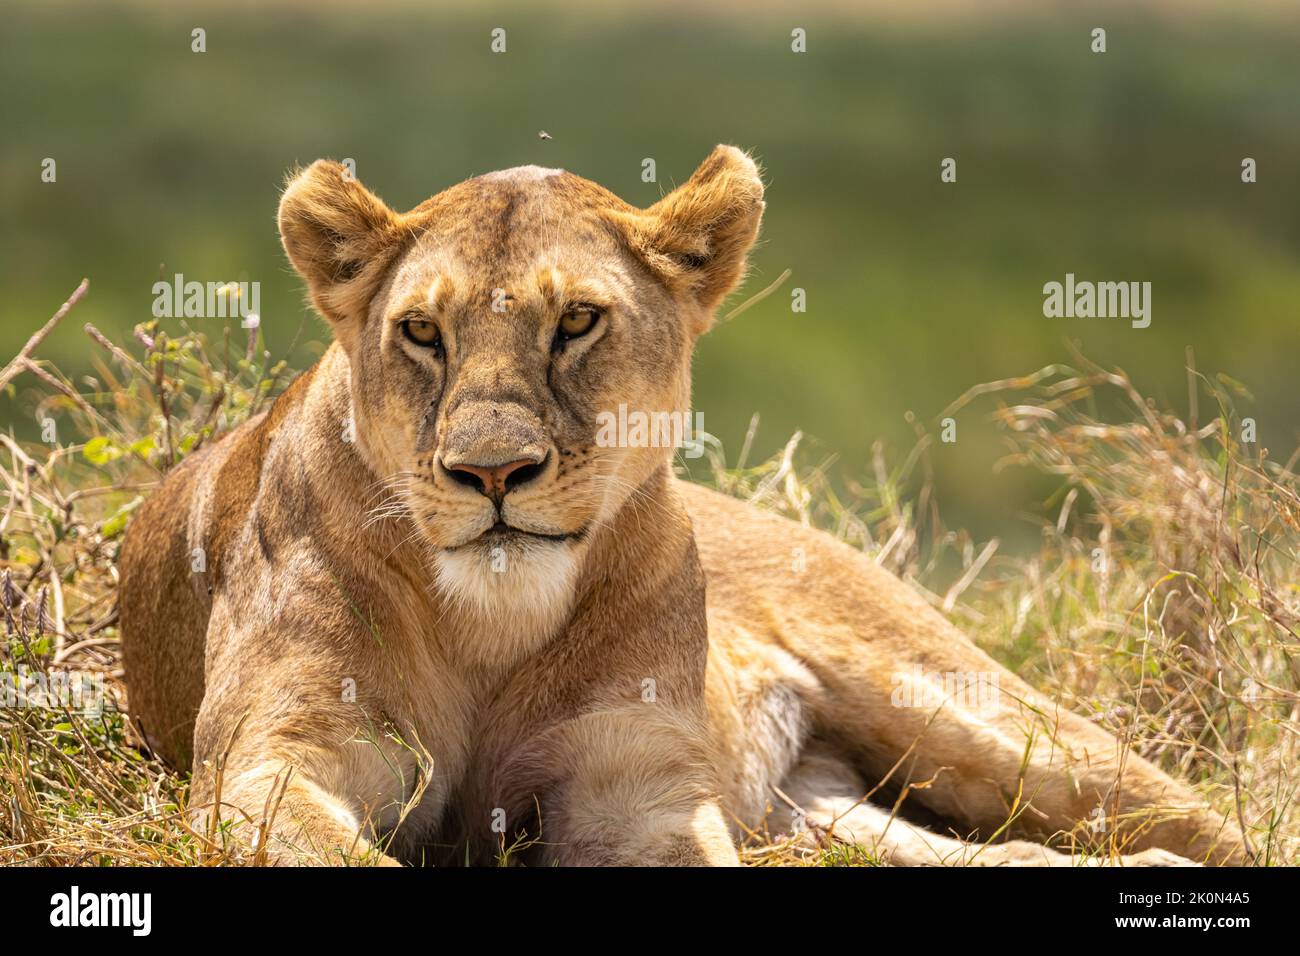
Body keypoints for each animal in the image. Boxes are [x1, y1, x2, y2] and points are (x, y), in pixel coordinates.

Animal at [118, 147, 1248, 866]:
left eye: (577, 321)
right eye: (422, 332)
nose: (491, 472)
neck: (490, 623)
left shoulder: (642, 783)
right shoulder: (275, 760)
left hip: (976, 715)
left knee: (1205, 821)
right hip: (813, 806)